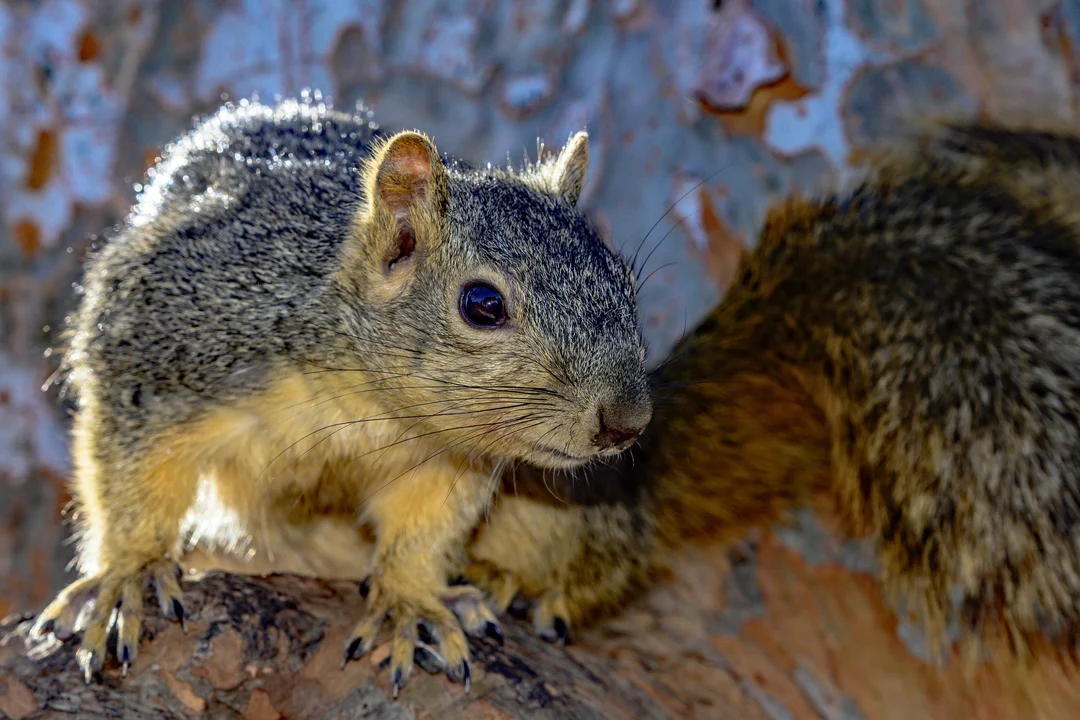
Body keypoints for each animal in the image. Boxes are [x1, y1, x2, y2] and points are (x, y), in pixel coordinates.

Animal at [30, 96, 654, 693]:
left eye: (624, 282)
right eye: (482, 305)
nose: (626, 423)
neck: (370, 399)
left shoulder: (449, 460)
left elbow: (423, 532)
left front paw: (410, 602)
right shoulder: (159, 357)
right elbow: (132, 482)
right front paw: (130, 573)